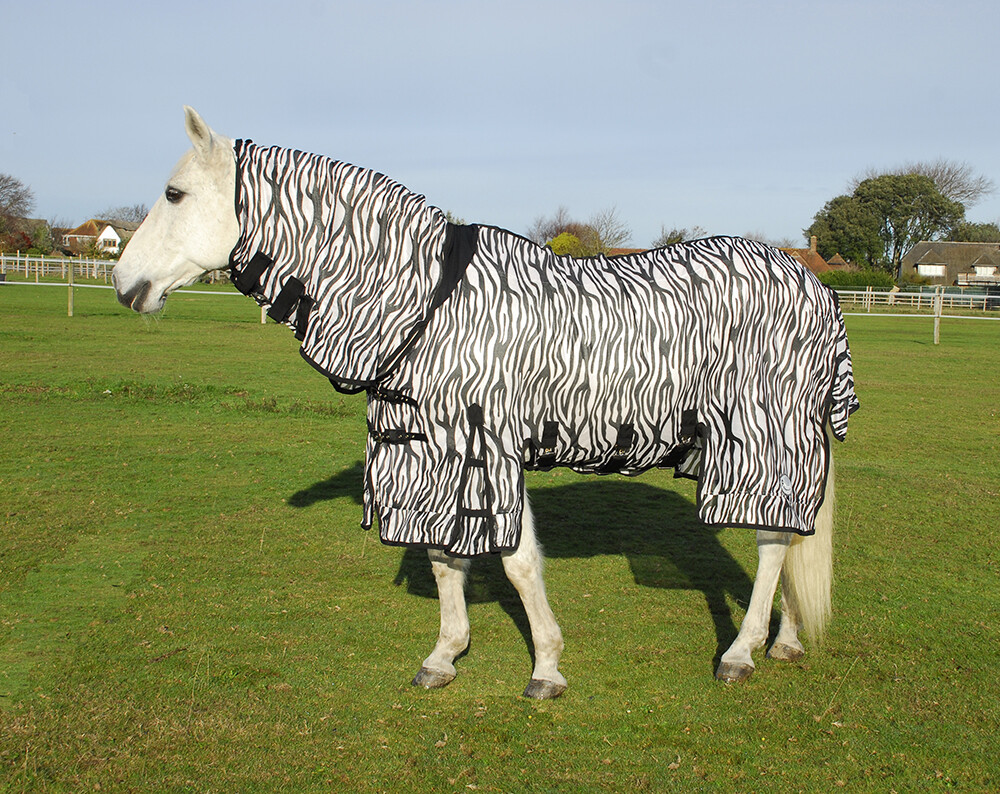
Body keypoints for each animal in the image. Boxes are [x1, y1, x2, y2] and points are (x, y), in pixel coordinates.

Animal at [113, 107, 858, 698]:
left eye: (174, 193)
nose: (123, 283)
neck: (424, 299)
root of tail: (810, 283)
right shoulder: (433, 451)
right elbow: (446, 559)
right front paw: (444, 656)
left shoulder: (484, 446)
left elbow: (518, 563)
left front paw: (546, 668)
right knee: (794, 535)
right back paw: (785, 641)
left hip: (762, 436)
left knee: (772, 541)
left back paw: (741, 652)